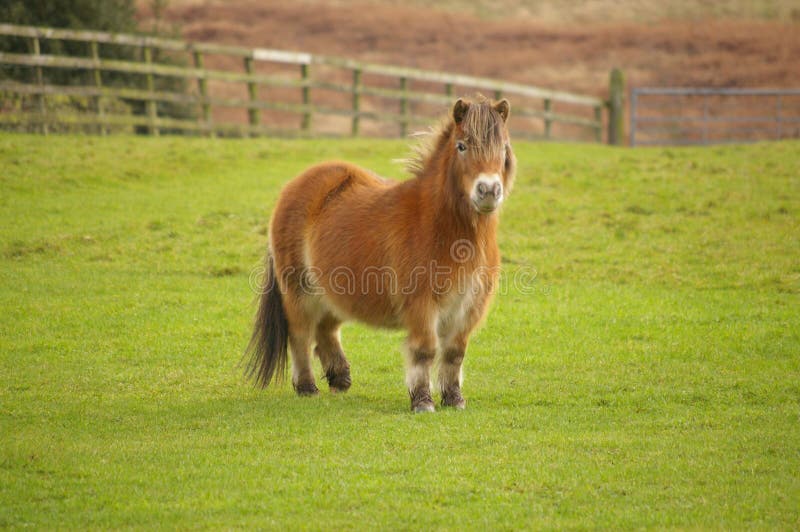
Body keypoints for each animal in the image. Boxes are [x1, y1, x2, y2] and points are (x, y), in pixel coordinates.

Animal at [245, 96, 516, 412]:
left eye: (504, 148)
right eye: (462, 146)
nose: (489, 190)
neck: (443, 228)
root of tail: (295, 185)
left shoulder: (469, 307)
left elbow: (454, 353)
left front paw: (454, 400)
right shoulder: (421, 305)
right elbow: (424, 350)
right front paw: (422, 402)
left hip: (332, 292)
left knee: (326, 330)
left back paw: (340, 378)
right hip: (299, 291)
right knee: (300, 334)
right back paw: (307, 387)